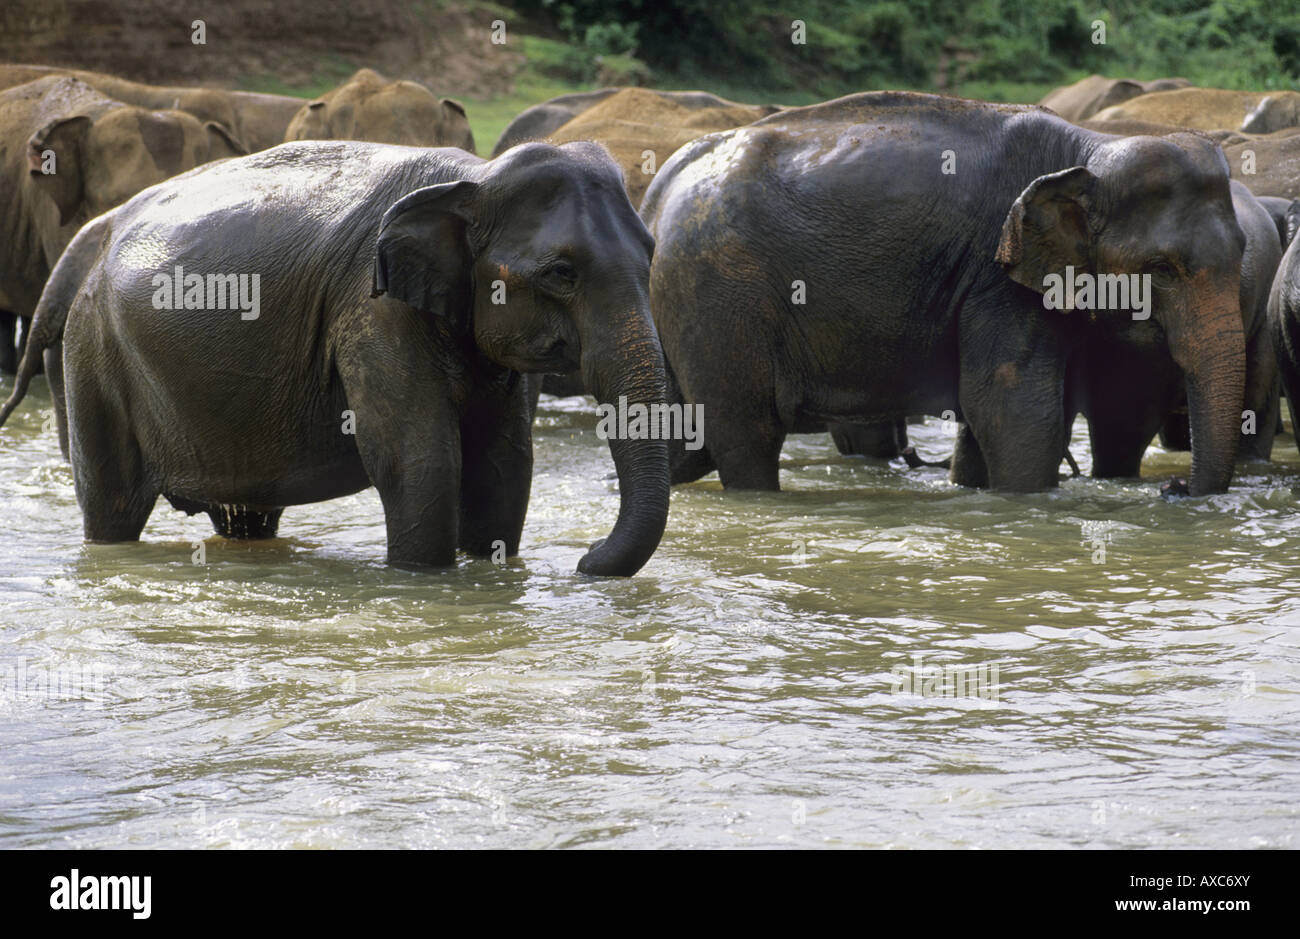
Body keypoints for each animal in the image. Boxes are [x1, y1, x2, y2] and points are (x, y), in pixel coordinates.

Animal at [0, 140, 670, 577]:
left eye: (651, 256)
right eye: (561, 274)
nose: (584, 556)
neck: (476, 178)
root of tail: (97, 233)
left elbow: (504, 465)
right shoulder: (371, 309)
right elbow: (419, 460)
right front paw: (425, 583)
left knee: (245, 517)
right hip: (94, 353)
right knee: (110, 505)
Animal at [640, 92, 1247, 496]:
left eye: (1243, 253)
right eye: (1161, 269)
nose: (1173, 490)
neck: (1089, 145)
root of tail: (664, 184)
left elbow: (985, 418)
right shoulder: (994, 277)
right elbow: (1013, 407)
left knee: (685, 434)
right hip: (718, 292)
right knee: (747, 429)